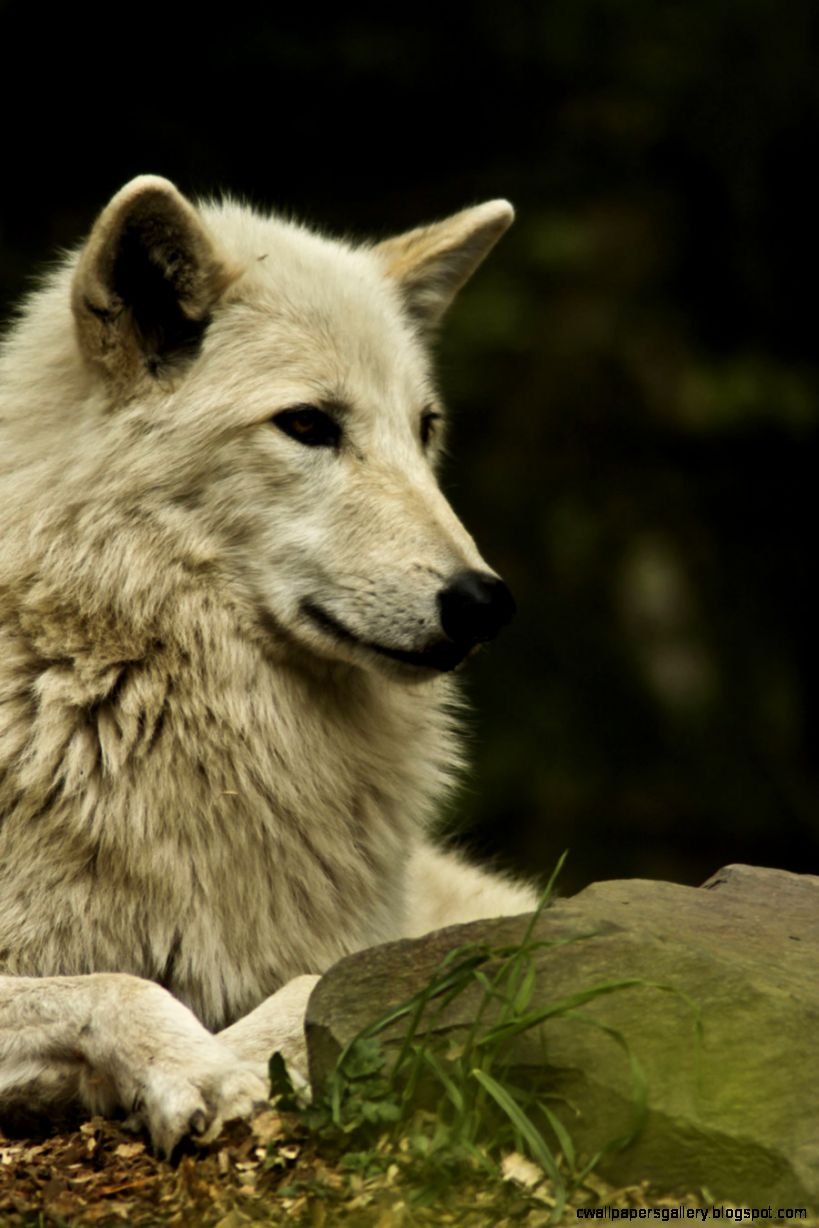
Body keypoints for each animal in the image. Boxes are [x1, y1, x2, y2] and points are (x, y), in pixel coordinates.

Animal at [0, 177, 537, 1156]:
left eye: (424, 429)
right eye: (307, 425)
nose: (485, 602)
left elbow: (319, 986)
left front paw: (246, 1062)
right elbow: (117, 984)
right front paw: (200, 1069)